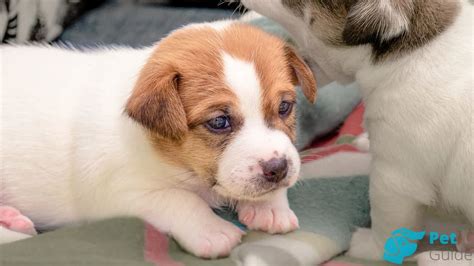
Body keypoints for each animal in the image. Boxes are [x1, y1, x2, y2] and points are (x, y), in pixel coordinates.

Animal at [0, 20, 318, 258]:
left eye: (284, 107)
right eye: (219, 122)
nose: (278, 169)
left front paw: (270, 207)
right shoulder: (118, 194)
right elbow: (180, 199)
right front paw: (212, 230)